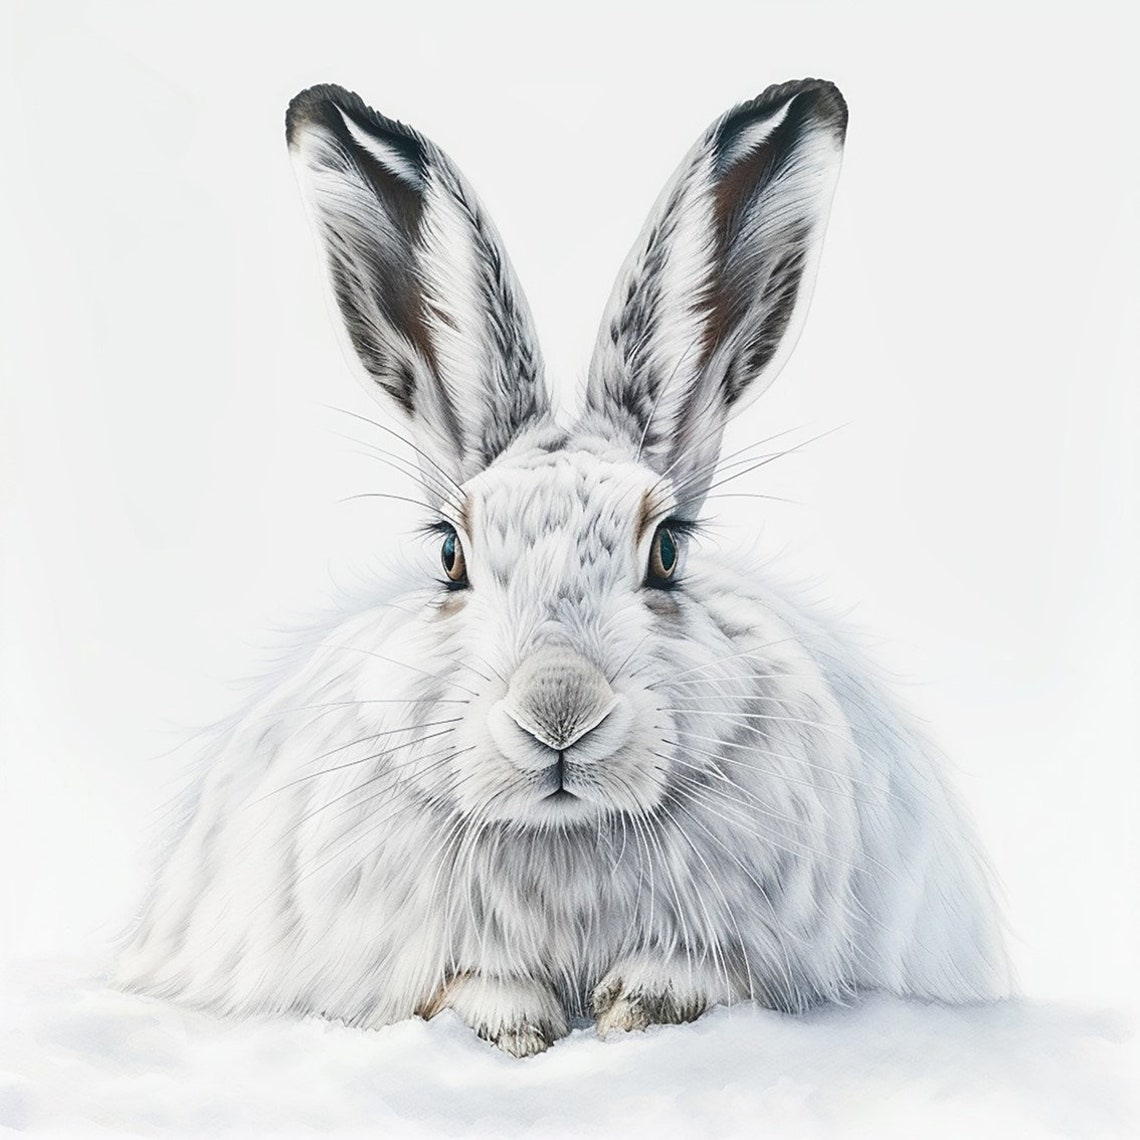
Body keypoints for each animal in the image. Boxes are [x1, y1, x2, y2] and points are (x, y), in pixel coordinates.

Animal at [116, 78, 1012, 1058]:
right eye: (449, 554)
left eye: (668, 551)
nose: (558, 712)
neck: (566, 840)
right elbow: (455, 986)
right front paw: (521, 1025)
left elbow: (709, 977)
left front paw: (635, 1005)